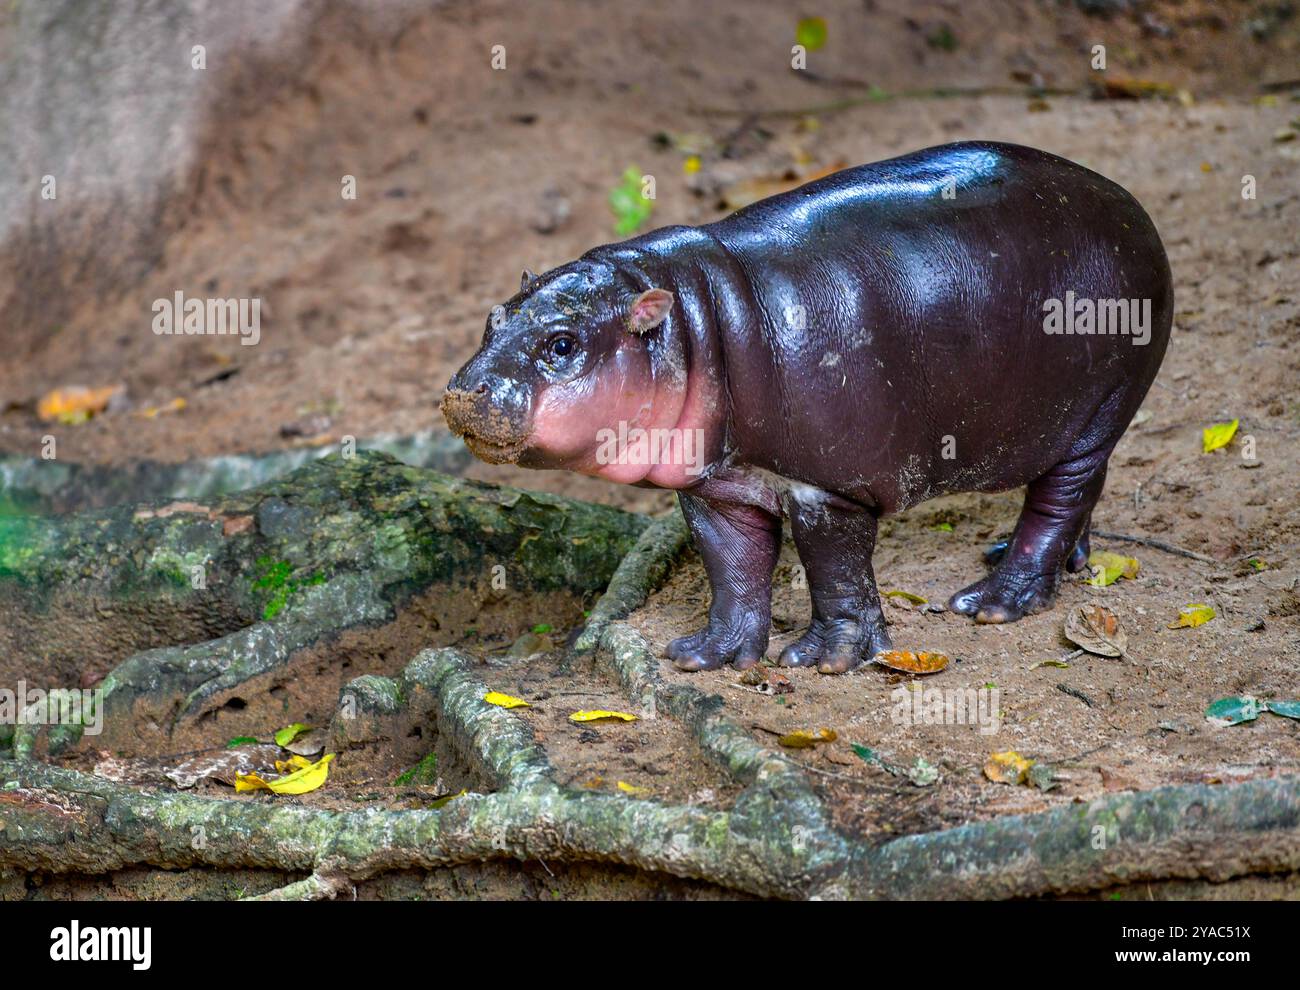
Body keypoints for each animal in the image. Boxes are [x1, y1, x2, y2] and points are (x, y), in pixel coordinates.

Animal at [443, 141, 1173, 674]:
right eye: (492, 317)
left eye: (562, 344)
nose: (461, 392)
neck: (695, 324)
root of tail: (1125, 200)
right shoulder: (717, 486)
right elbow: (732, 569)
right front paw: (705, 656)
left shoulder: (828, 487)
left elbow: (835, 574)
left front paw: (825, 661)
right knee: (1081, 492)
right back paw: (1028, 560)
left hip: (1102, 405)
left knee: (1061, 497)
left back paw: (991, 603)